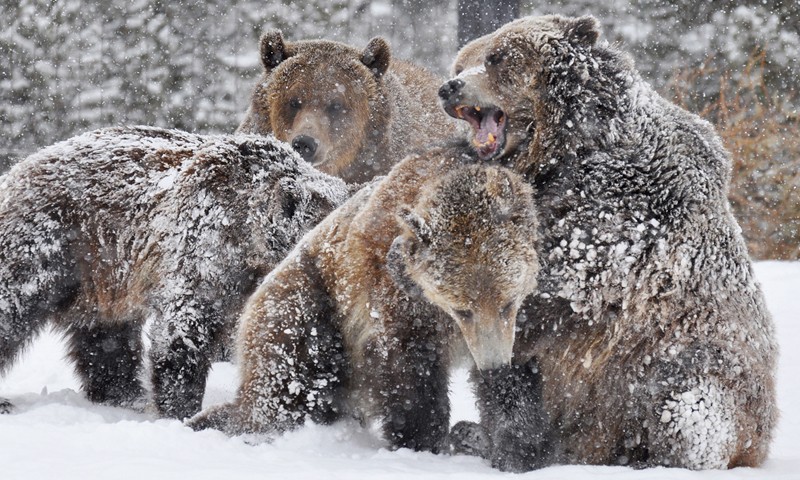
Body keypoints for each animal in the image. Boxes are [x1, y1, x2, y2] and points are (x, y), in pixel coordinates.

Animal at [0, 126, 349, 419]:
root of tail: (15, 172)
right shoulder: (204, 247)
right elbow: (183, 333)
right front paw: (181, 407)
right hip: (52, 242)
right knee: (13, 307)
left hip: (103, 275)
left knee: (107, 336)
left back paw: (125, 395)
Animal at [186, 145, 541, 454]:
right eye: (462, 309)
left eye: (508, 303)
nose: (494, 364)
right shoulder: (395, 302)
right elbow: (410, 374)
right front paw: (422, 441)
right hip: (306, 302)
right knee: (288, 375)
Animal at [437, 15, 778, 471]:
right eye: (461, 61)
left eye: (498, 57)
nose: (450, 86)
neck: (562, 151)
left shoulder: (618, 214)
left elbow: (558, 282)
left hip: (693, 361)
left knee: (685, 403)